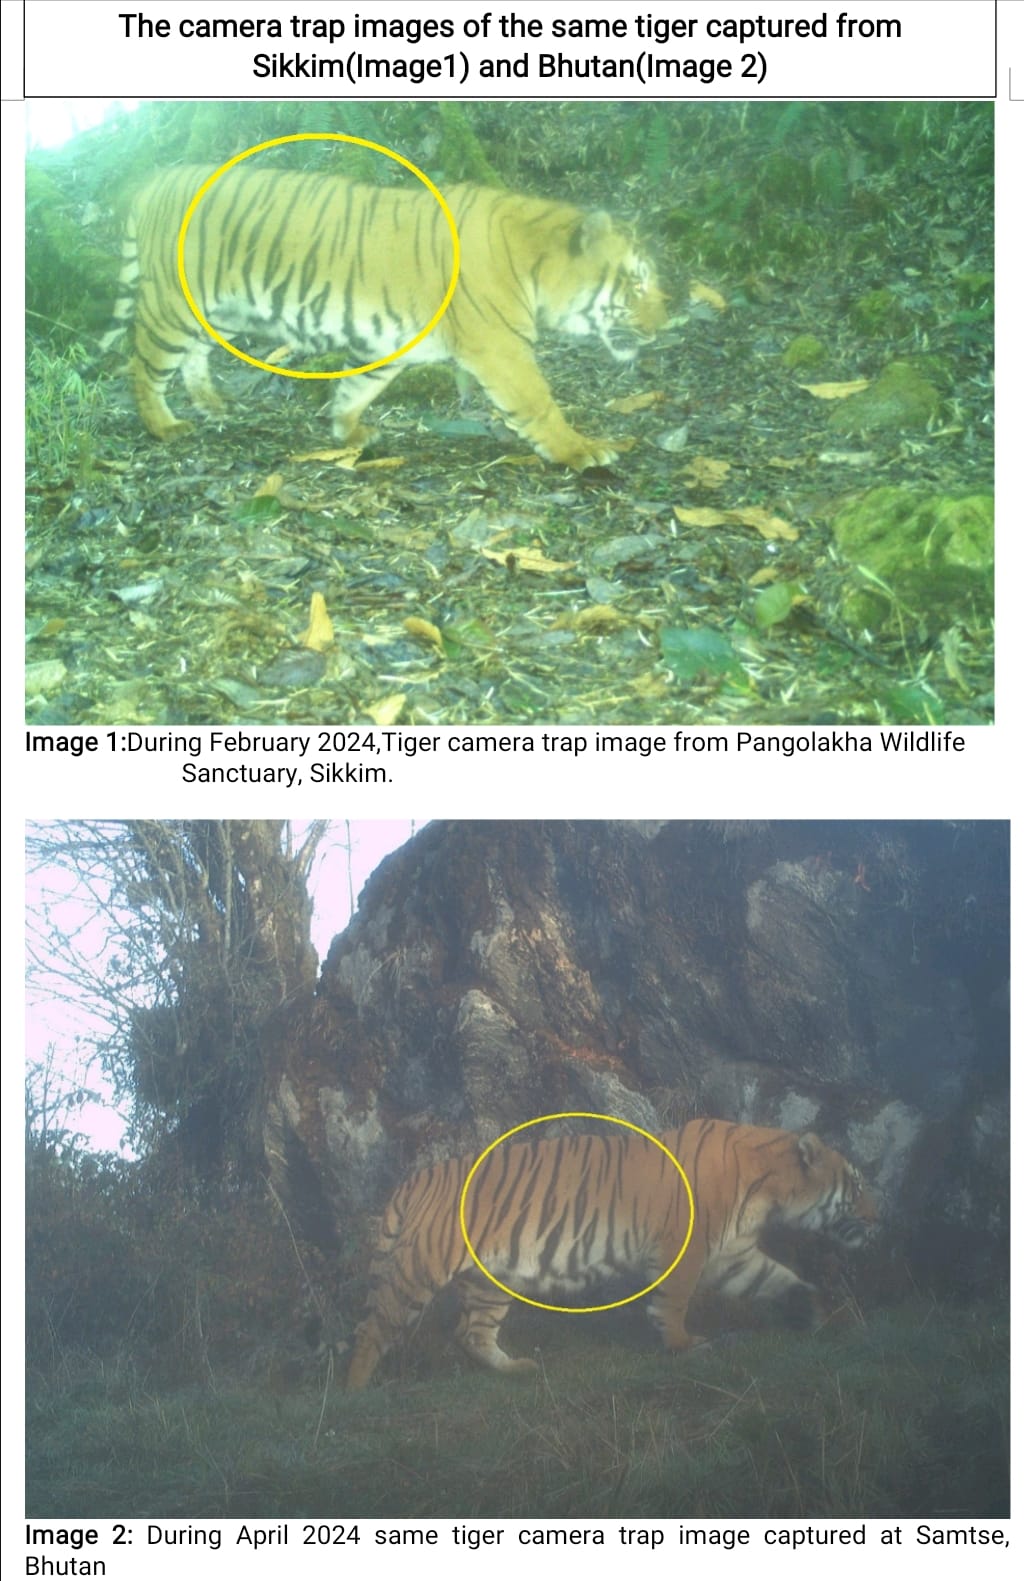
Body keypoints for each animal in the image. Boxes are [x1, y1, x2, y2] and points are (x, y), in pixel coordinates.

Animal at [102, 165, 666, 469]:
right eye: (637, 282)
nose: (666, 324)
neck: (535, 262)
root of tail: (156, 179)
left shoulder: (388, 345)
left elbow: (357, 389)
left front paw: (346, 433)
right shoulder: (500, 348)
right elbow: (538, 403)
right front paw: (582, 451)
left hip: (216, 313)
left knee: (195, 357)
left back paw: (213, 404)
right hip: (172, 308)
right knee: (141, 365)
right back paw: (164, 426)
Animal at [345, 1119, 876, 1389]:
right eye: (856, 1186)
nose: (879, 1215)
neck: (771, 1189)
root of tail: (417, 1178)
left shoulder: (734, 1256)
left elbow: (779, 1277)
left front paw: (818, 1312)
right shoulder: (686, 1249)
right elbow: (673, 1304)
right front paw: (684, 1346)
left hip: (490, 1282)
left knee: (471, 1333)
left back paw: (516, 1369)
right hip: (419, 1269)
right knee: (371, 1330)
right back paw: (355, 1395)